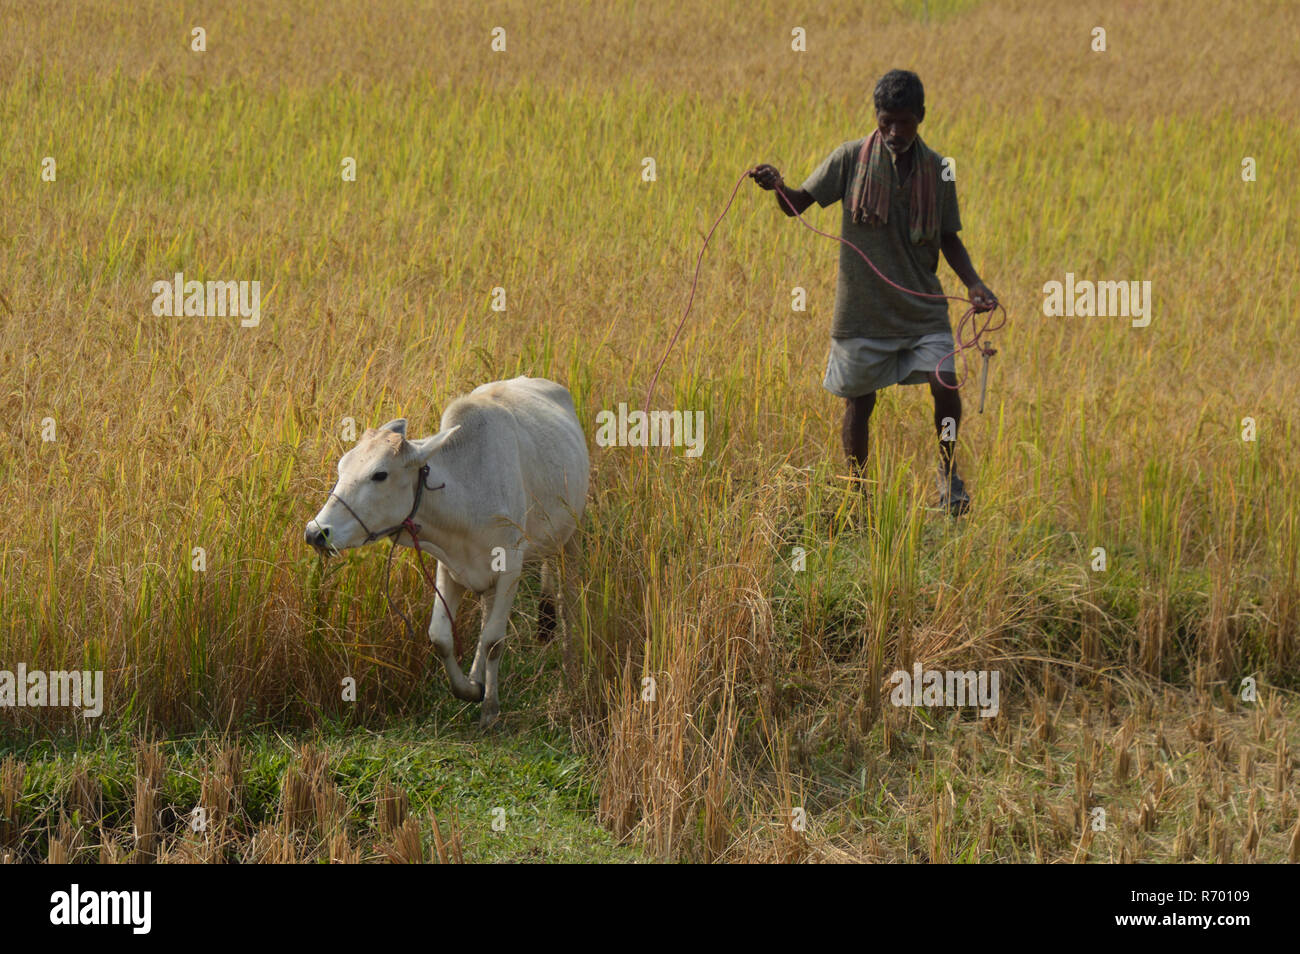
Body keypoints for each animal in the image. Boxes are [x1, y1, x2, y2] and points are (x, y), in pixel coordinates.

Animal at [305, 376, 589, 727]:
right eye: (341, 467)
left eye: (380, 474)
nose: (316, 532)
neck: (466, 492)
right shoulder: (449, 566)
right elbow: (441, 637)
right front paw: (471, 688)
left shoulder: (511, 565)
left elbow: (493, 640)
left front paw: (490, 709)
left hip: (571, 536)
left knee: (566, 602)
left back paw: (569, 667)